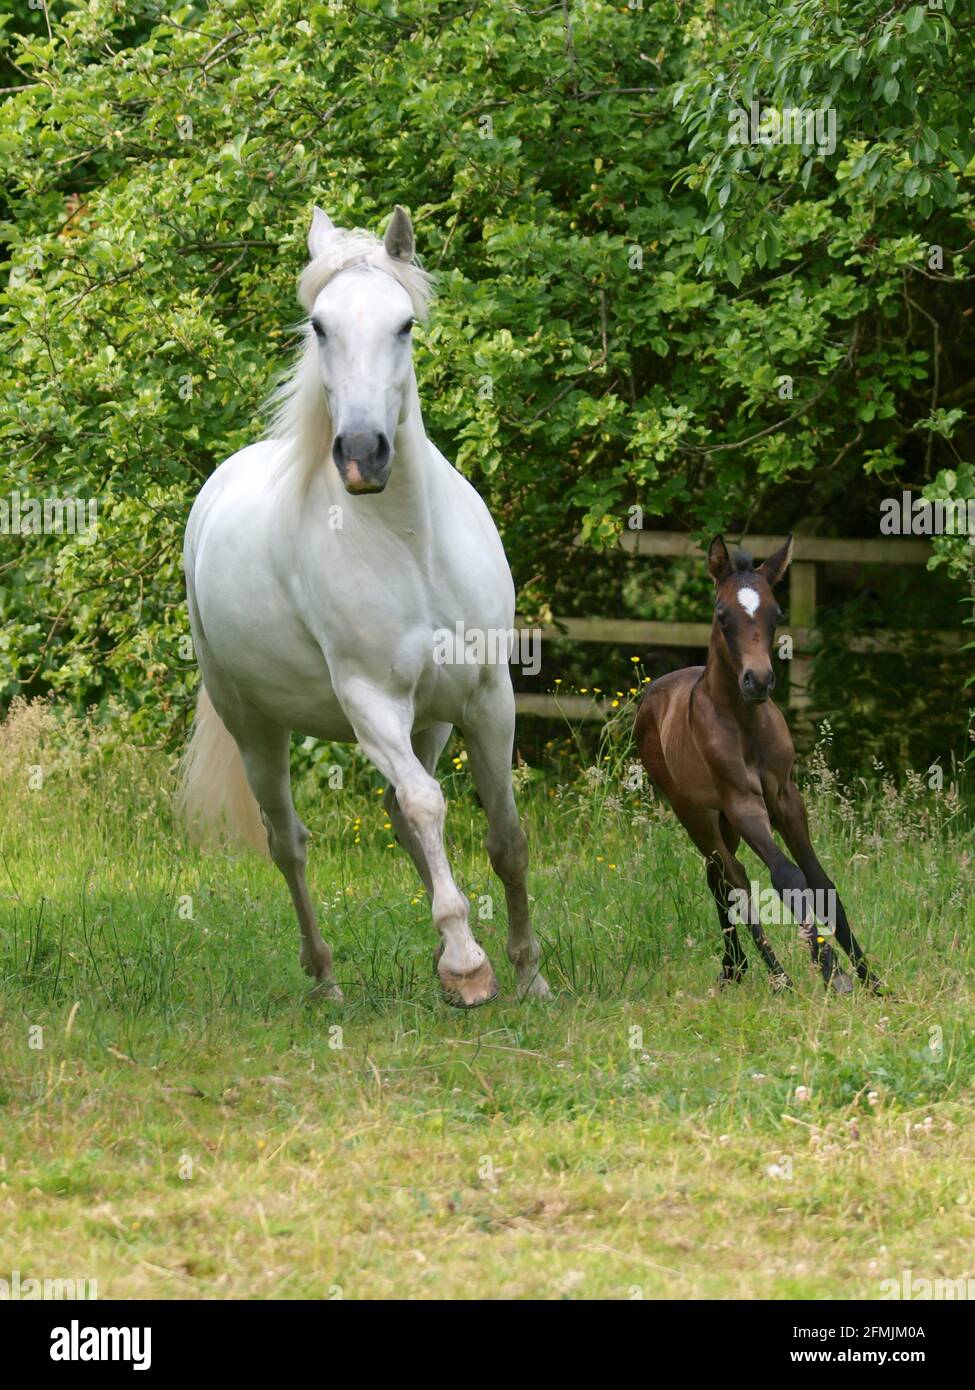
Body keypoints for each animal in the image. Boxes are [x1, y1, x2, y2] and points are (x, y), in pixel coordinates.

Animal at [178, 205, 550, 1008]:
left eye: (404, 324)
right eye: (318, 325)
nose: (361, 453)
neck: (411, 546)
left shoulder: (486, 697)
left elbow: (505, 835)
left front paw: (527, 971)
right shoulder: (370, 701)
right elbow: (427, 806)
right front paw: (470, 967)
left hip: (431, 722)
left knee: (397, 814)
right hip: (257, 729)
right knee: (290, 842)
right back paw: (325, 981)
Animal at [634, 534, 882, 994]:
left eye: (776, 613)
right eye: (721, 613)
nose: (759, 680)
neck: (745, 724)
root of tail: (652, 694)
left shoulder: (785, 797)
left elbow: (820, 880)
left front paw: (873, 980)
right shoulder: (744, 804)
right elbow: (786, 875)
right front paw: (831, 970)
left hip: (721, 820)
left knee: (716, 875)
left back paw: (736, 966)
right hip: (695, 812)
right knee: (735, 879)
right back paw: (778, 977)